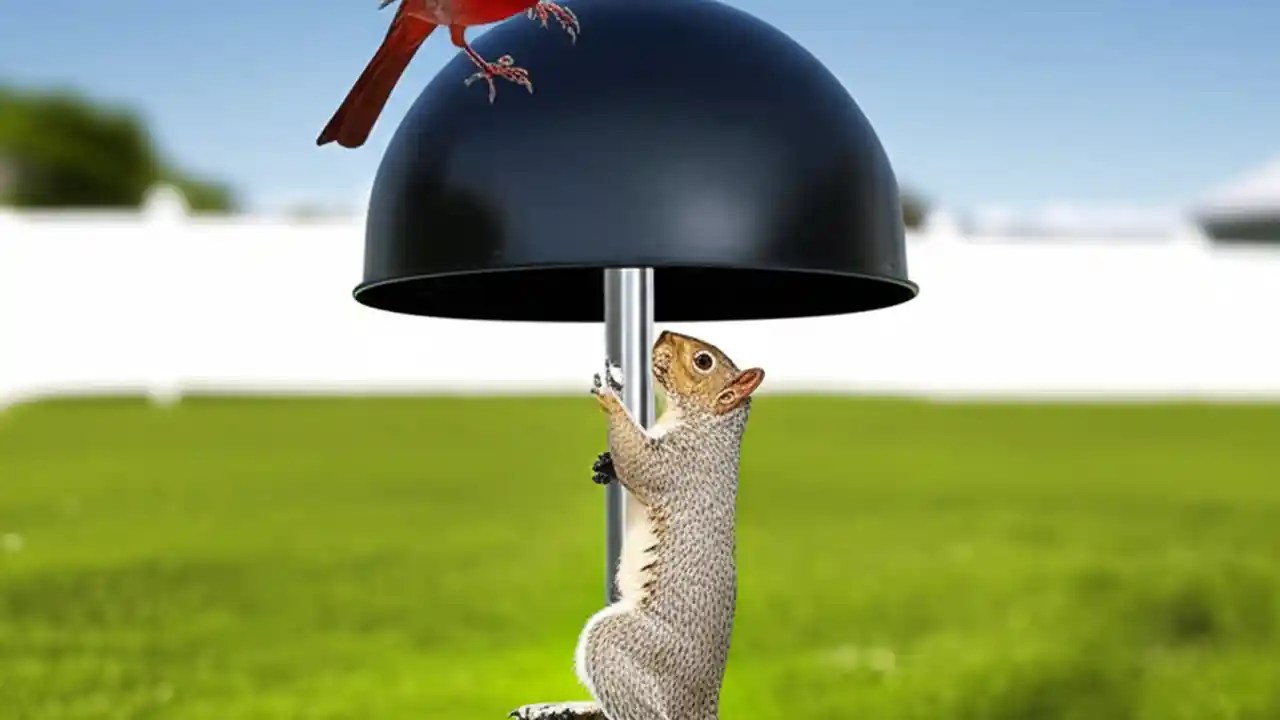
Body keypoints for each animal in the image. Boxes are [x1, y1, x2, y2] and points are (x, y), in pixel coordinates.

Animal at [512, 330, 766, 720]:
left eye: (703, 361)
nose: (663, 335)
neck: (709, 422)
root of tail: (699, 708)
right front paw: (604, 465)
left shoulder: (681, 464)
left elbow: (638, 461)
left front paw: (610, 396)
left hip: (634, 646)